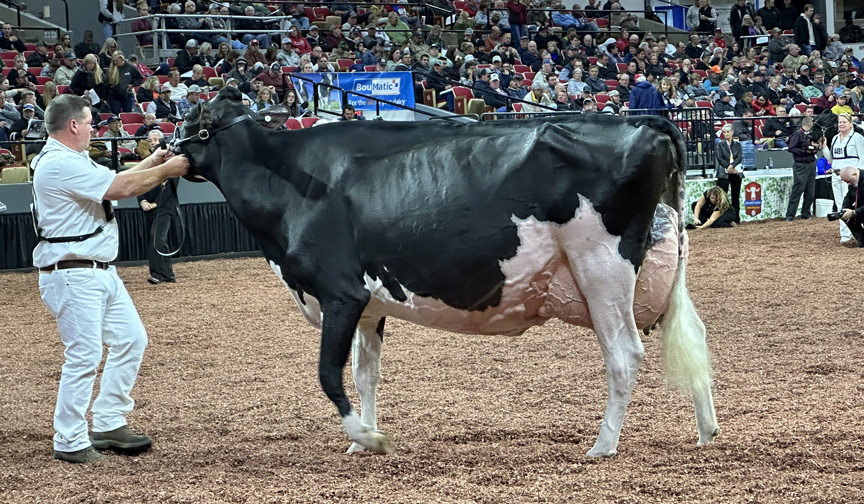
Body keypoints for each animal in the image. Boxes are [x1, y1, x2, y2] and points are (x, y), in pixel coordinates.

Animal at [171, 86, 719, 457]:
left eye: (192, 120)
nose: (165, 148)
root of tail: (647, 123)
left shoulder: (339, 293)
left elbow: (329, 374)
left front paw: (367, 436)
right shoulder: (369, 305)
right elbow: (364, 374)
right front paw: (362, 440)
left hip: (601, 265)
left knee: (623, 354)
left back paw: (603, 445)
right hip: (658, 270)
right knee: (691, 336)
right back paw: (706, 430)